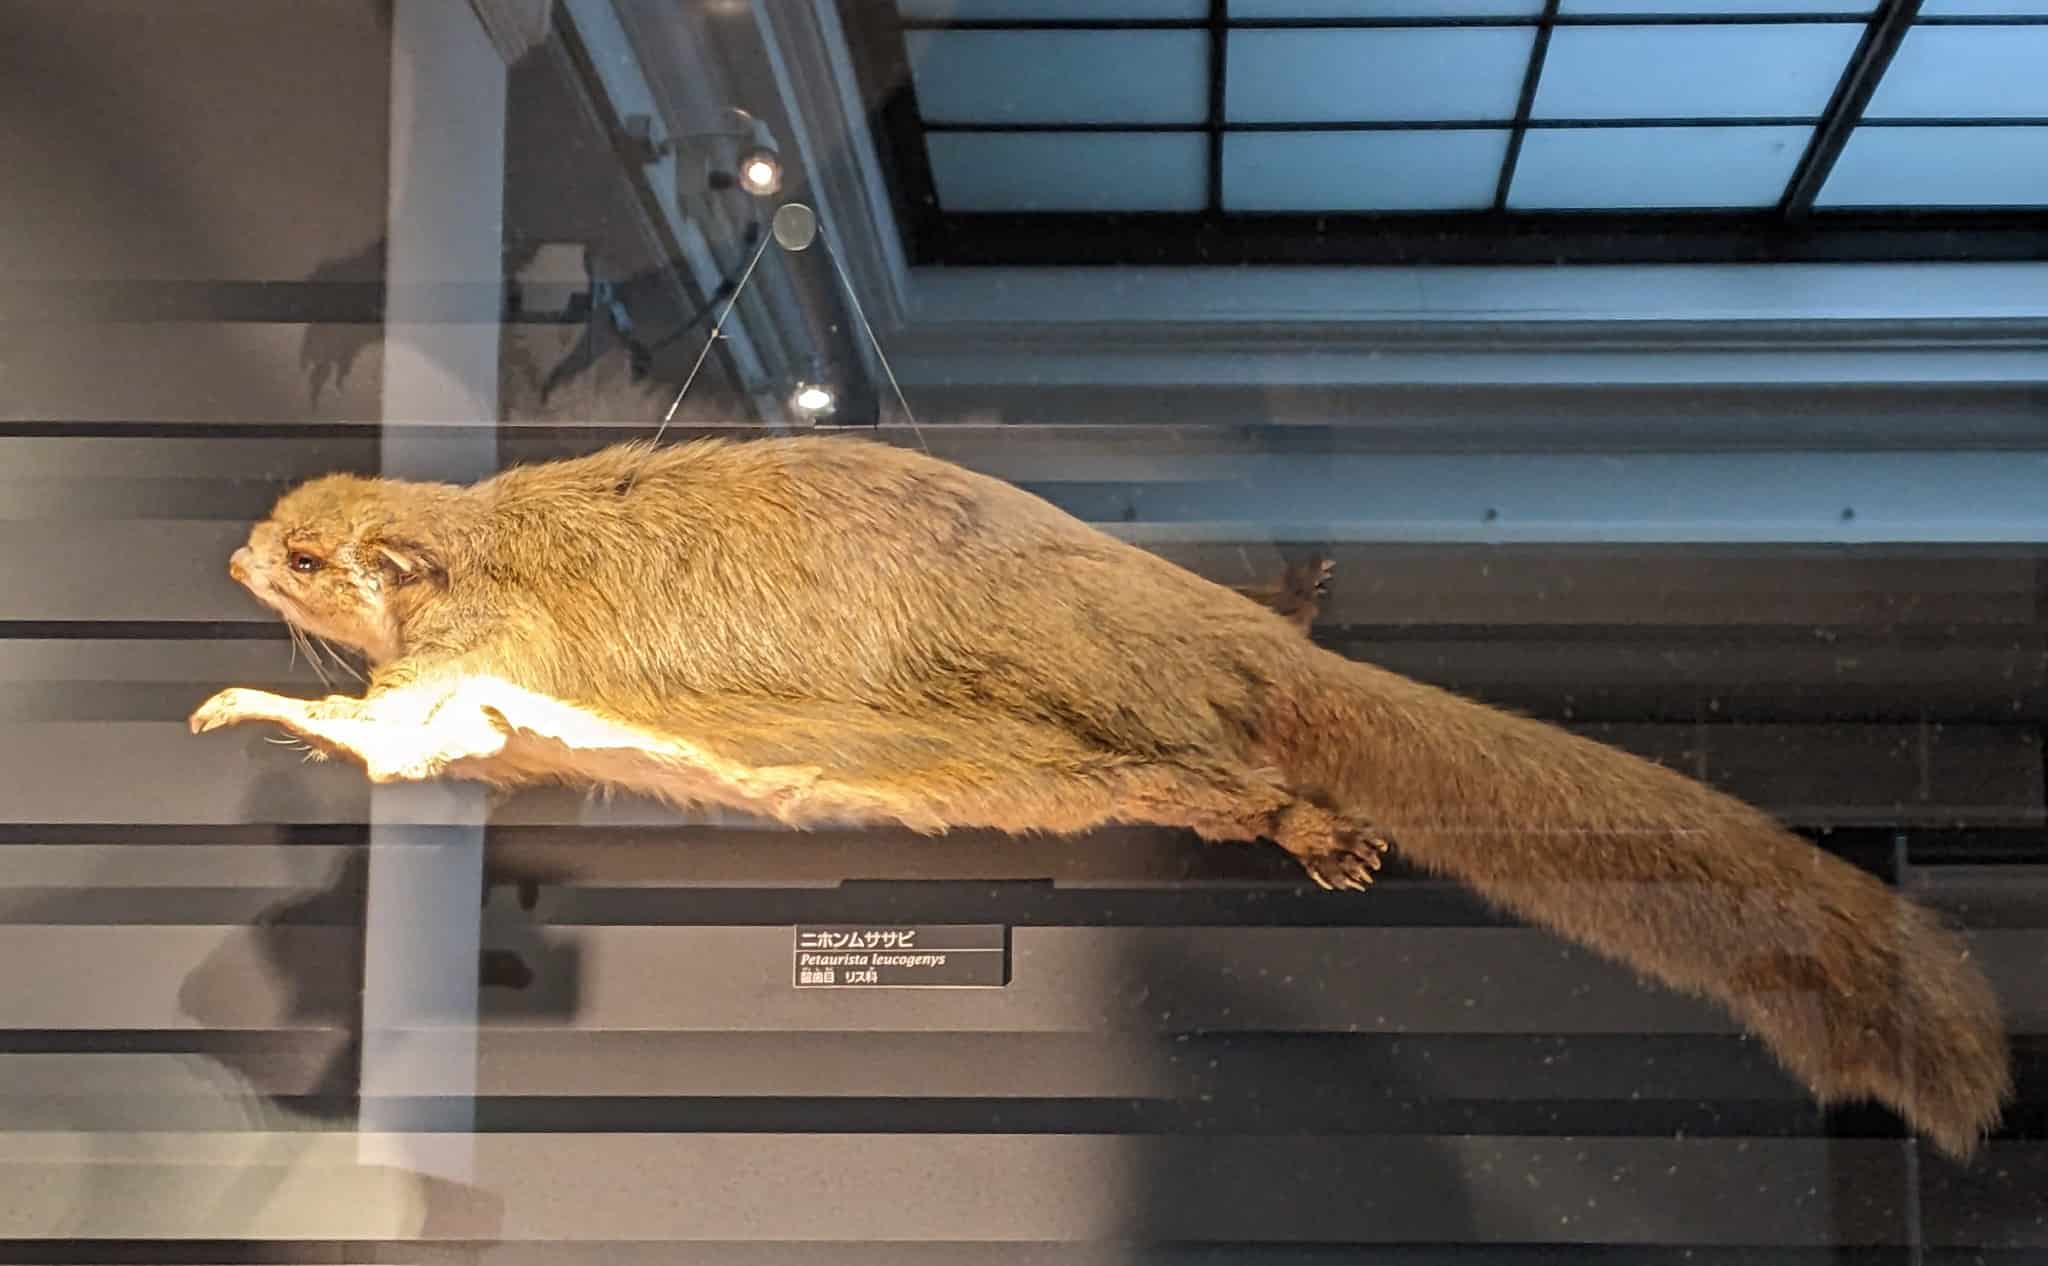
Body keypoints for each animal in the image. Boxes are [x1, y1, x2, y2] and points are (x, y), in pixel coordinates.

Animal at [189, 436, 2010, 1159]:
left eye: (303, 556)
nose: (230, 555)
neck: (495, 536)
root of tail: (1187, 627)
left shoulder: (466, 670)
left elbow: (396, 732)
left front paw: (250, 705)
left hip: (1111, 746)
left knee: (1233, 778)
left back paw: (1328, 831)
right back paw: (1298, 590)